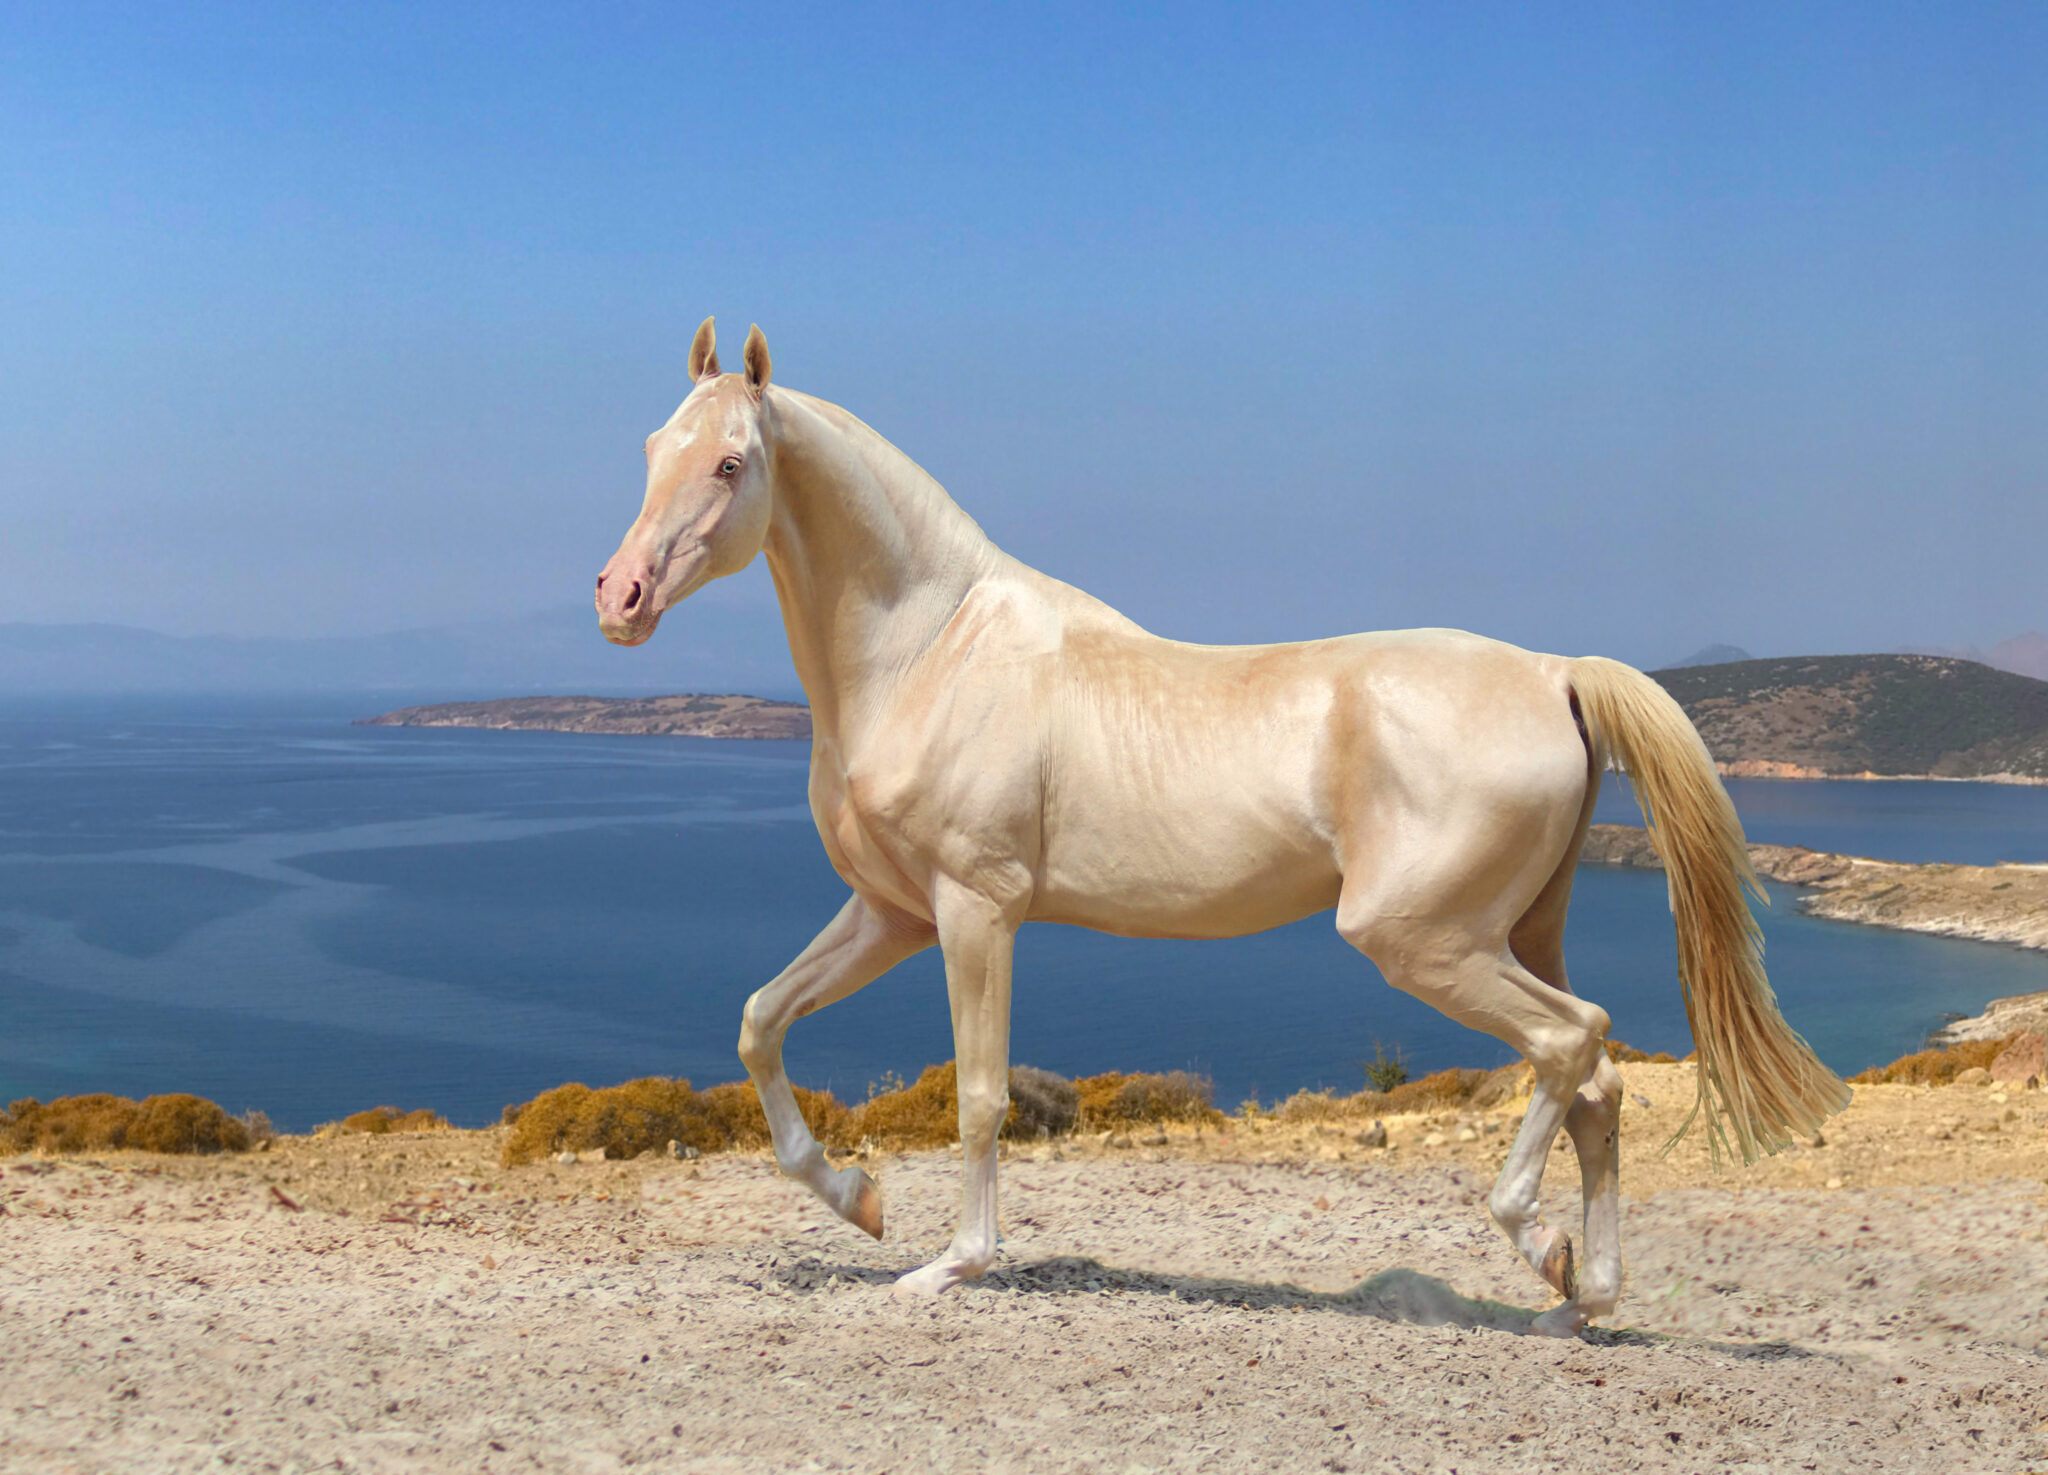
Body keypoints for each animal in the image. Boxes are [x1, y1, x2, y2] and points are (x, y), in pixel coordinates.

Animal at [594, 318, 1849, 1335]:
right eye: (649, 448)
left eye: (730, 461)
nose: (618, 599)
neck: (932, 651)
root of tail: (1554, 675)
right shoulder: (889, 912)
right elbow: (761, 1021)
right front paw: (857, 1202)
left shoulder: (973, 909)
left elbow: (980, 1092)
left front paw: (951, 1264)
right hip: (1515, 930)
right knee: (1596, 1084)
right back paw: (1581, 1295)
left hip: (1422, 939)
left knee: (1568, 1038)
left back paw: (1535, 1242)